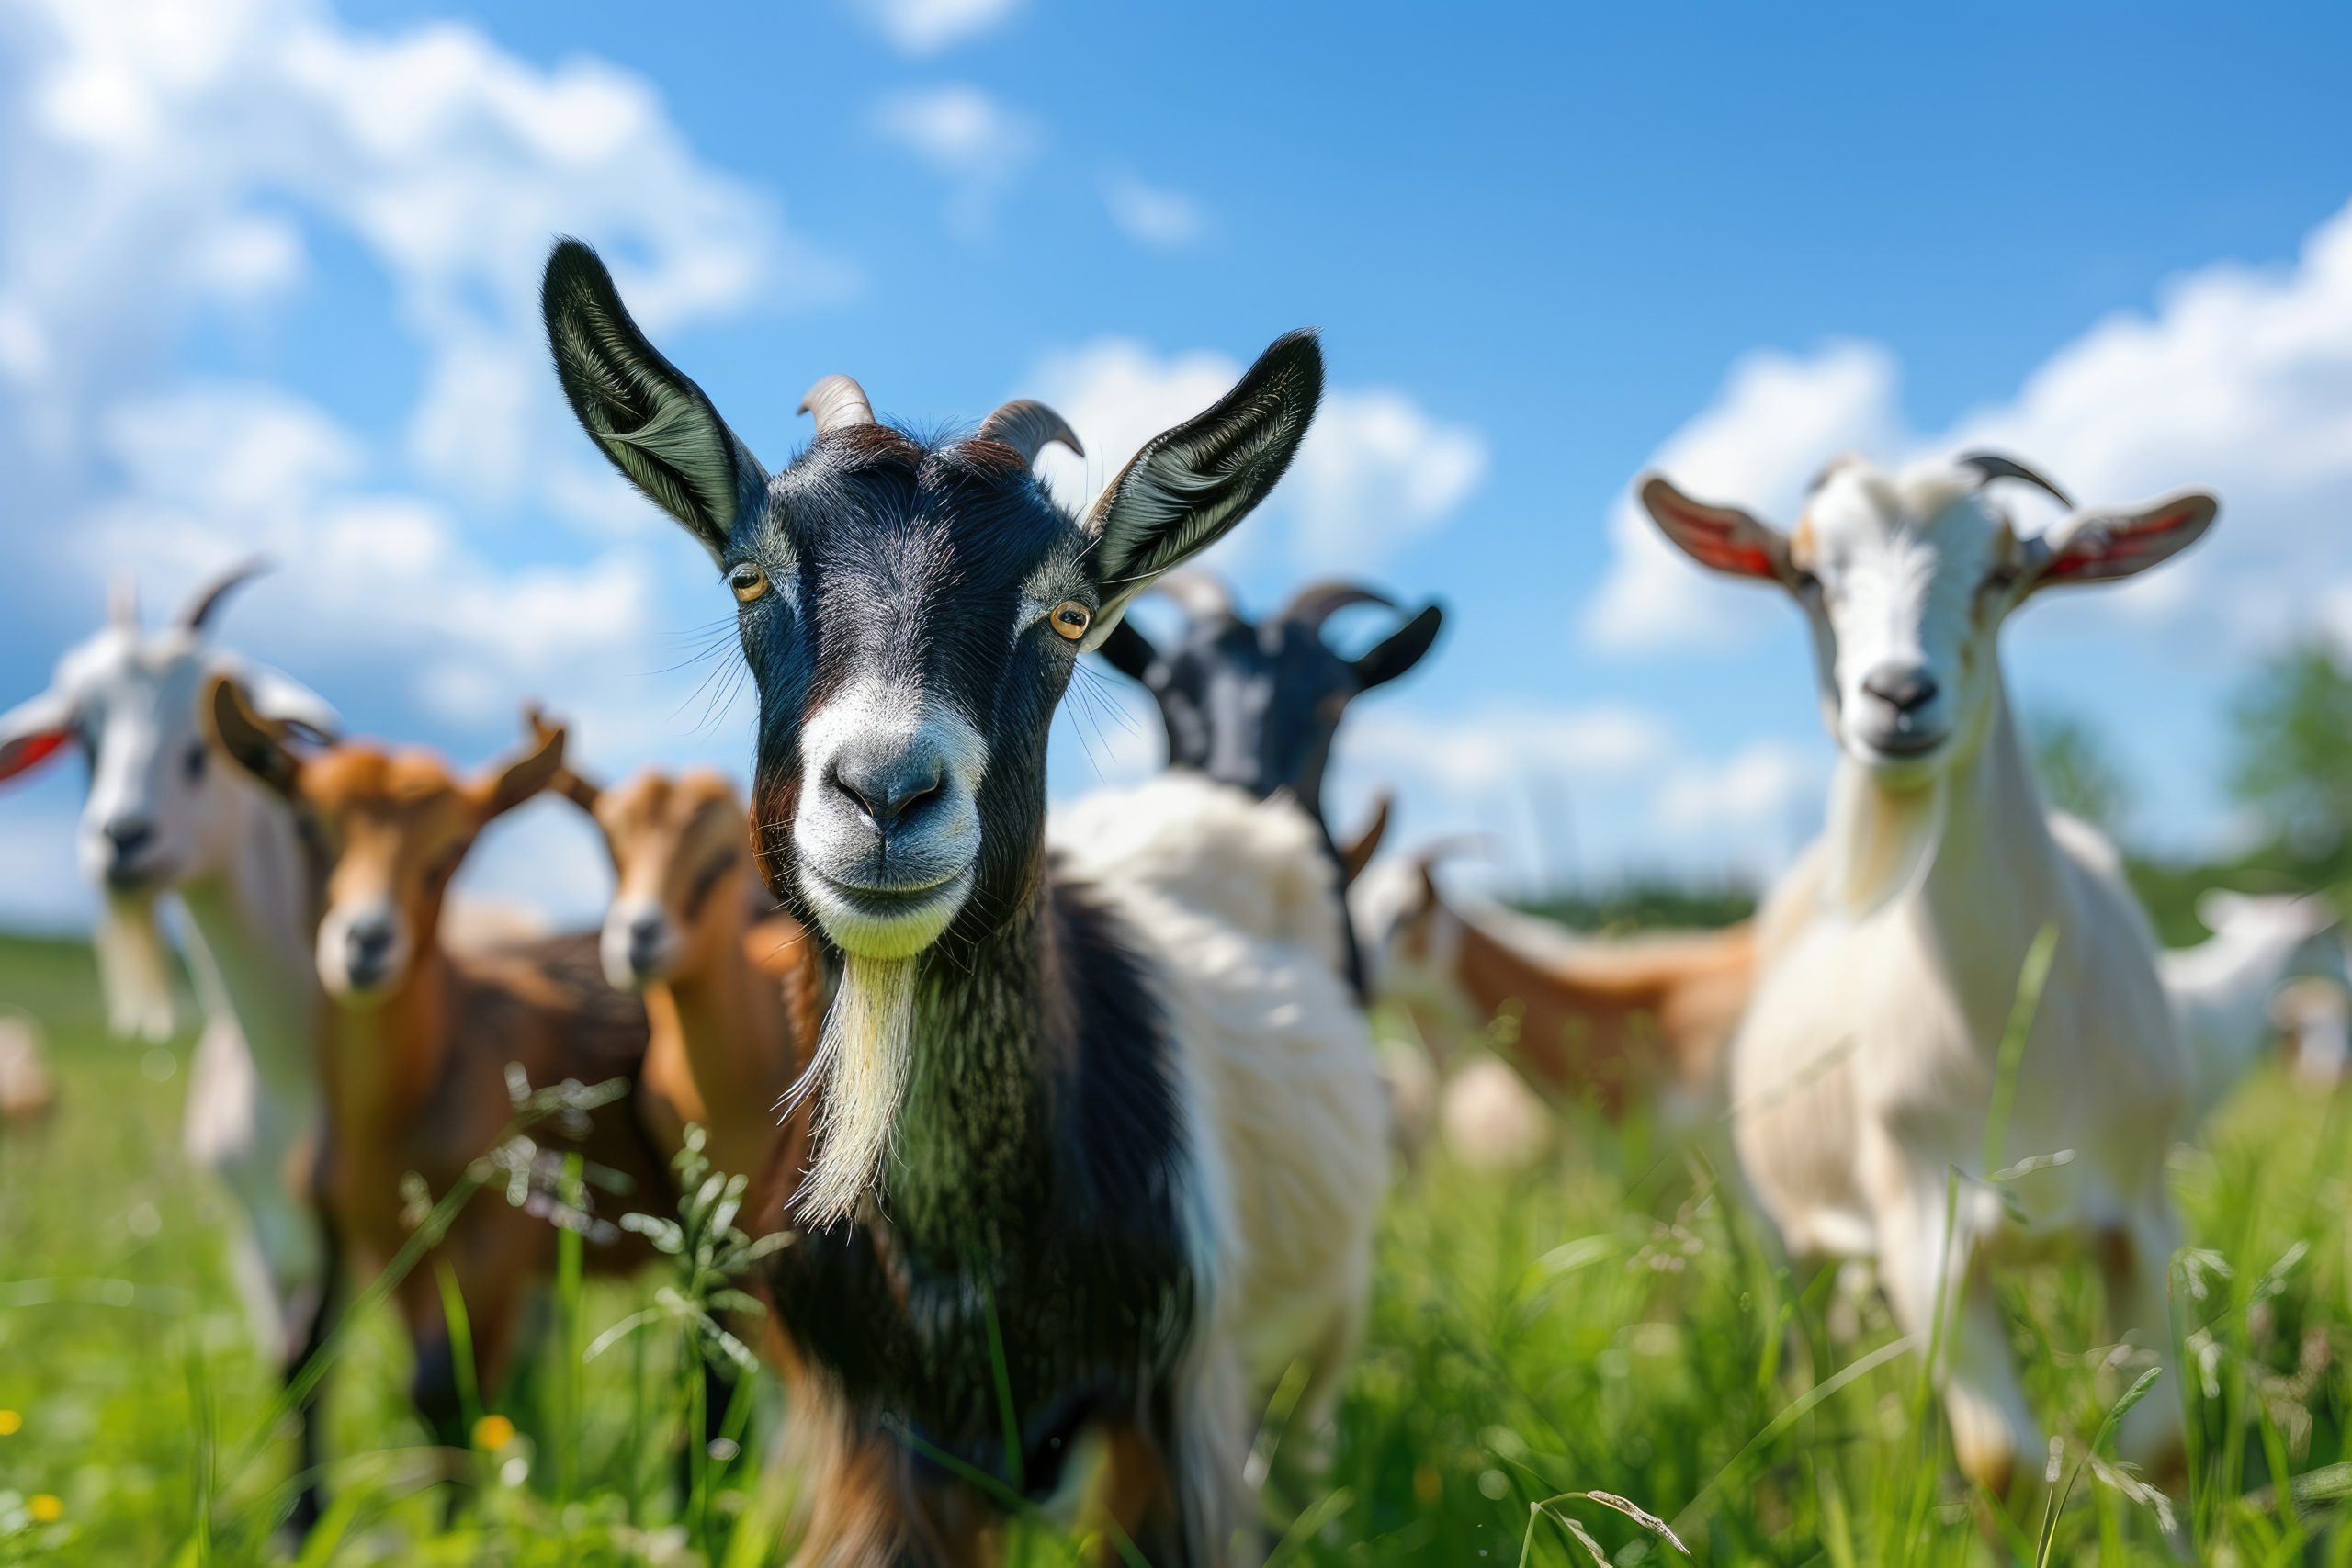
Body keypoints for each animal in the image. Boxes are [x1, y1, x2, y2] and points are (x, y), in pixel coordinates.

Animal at [205, 682, 669, 1462]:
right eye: (307, 825)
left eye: (454, 847)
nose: (365, 941)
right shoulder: (393, 1244)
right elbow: (373, 1376)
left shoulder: (499, 1236)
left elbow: (450, 1390)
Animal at [544, 237, 1386, 1564]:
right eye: (747, 577)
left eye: (1069, 613)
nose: (887, 791)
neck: (966, 1264)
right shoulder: (879, 1442)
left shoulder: (1175, 1412)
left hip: (1318, 1342)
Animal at [1638, 451, 2218, 1501]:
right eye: (1807, 575)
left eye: (2004, 572)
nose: (1898, 696)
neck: (2010, 1028)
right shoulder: (1926, 1235)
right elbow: (2002, 1462)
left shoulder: (2143, 1216)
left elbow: (2161, 1448)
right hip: (1792, 1225)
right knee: (1808, 1351)